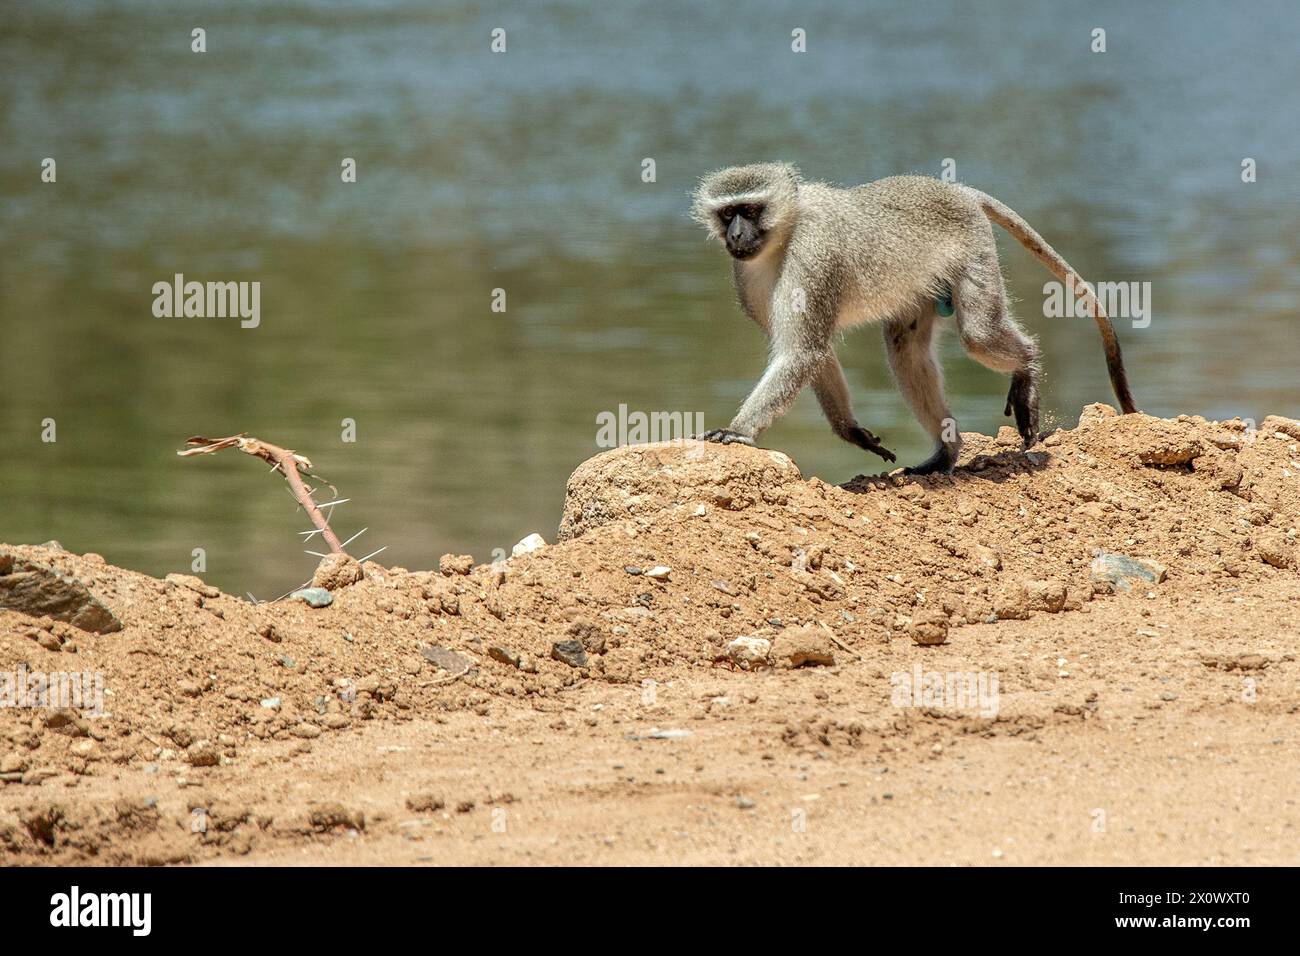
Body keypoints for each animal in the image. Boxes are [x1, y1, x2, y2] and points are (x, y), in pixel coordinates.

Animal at [689, 162, 1137, 475]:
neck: (784, 234)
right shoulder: (746, 277)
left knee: (978, 333)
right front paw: (850, 430)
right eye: (727, 214)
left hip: (974, 248)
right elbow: (814, 353)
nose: (736, 235)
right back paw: (945, 453)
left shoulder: (814, 257)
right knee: (907, 352)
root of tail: (956, 190)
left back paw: (1026, 366)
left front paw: (739, 431)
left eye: (750, 210)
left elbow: (802, 352)